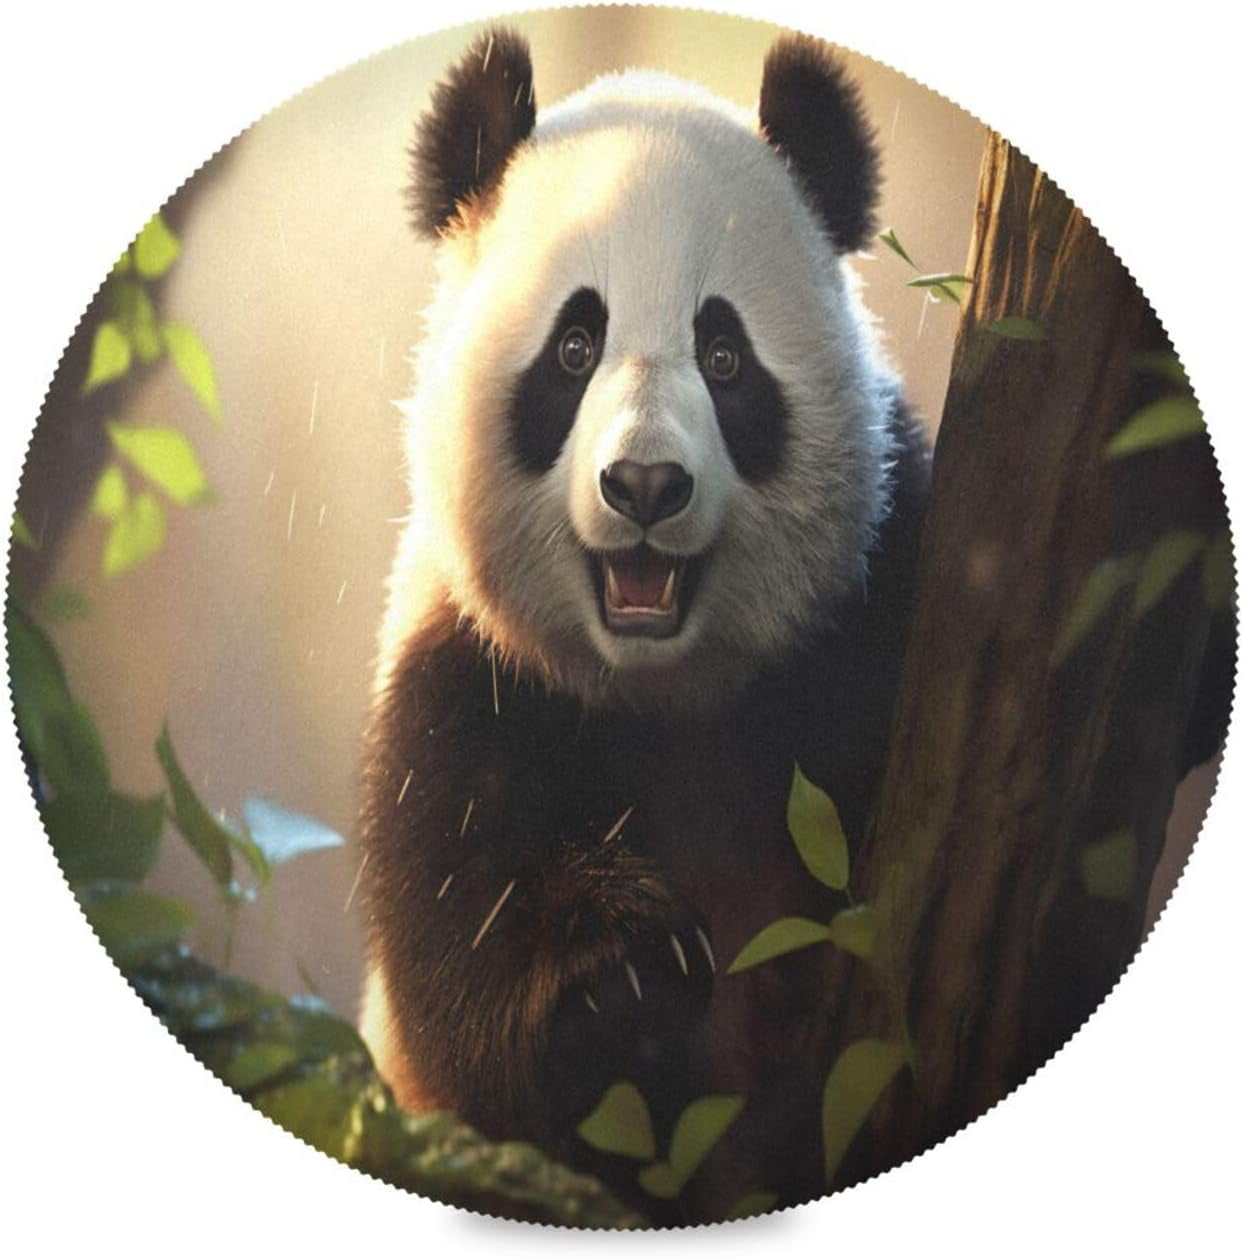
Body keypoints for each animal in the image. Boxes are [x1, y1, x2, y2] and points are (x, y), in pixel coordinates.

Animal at [358, 27, 931, 1221]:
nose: (646, 485)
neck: (663, 690)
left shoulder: (876, 580)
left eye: (725, 356)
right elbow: (457, 980)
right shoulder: (461, 673)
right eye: (574, 348)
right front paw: (620, 971)